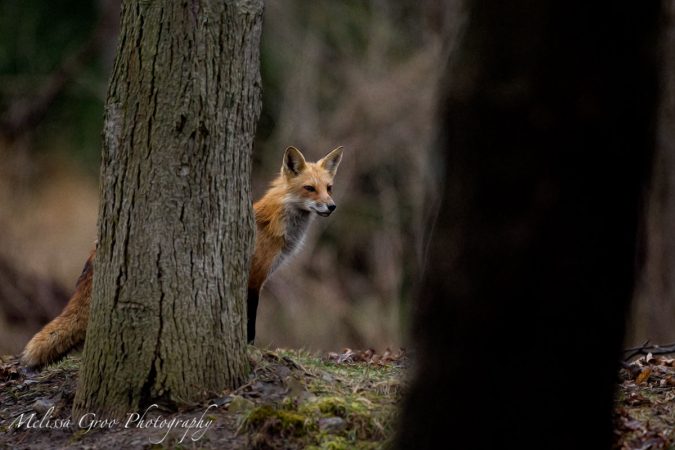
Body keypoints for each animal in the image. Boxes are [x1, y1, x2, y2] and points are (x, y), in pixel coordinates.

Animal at [21, 146, 343, 369]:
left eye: (328, 188)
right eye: (309, 188)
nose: (332, 207)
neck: (276, 226)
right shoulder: (253, 279)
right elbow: (250, 323)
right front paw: (250, 349)